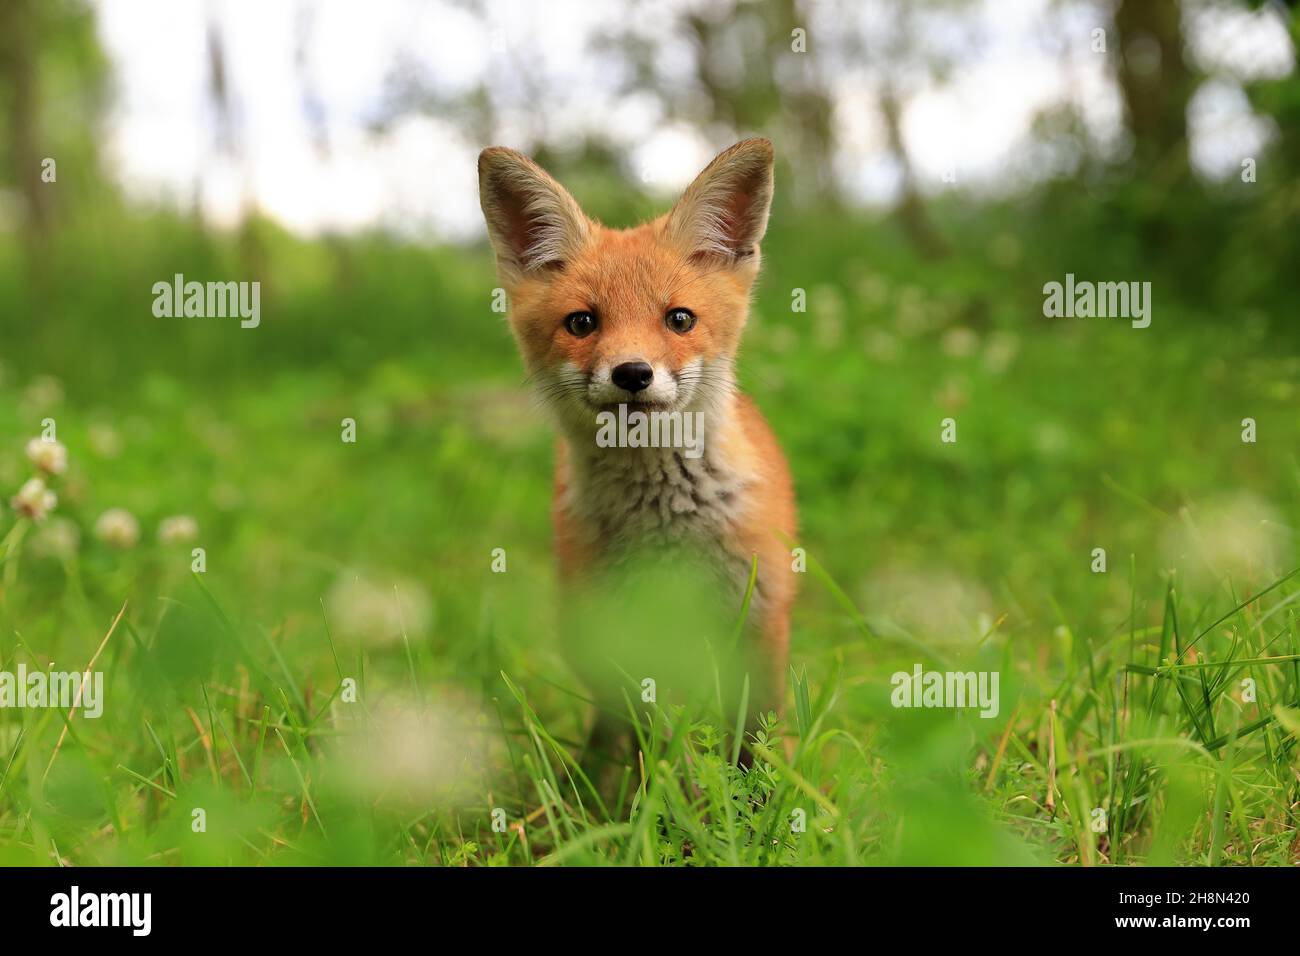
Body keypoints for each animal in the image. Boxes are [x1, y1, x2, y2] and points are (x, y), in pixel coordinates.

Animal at [477, 138, 796, 774]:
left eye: (679, 319)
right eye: (582, 322)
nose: (631, 373)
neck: (664, 520)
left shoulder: (759, 616)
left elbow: (758, 738)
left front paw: (767, 798)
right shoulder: (618, 634)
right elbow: (661, 747)